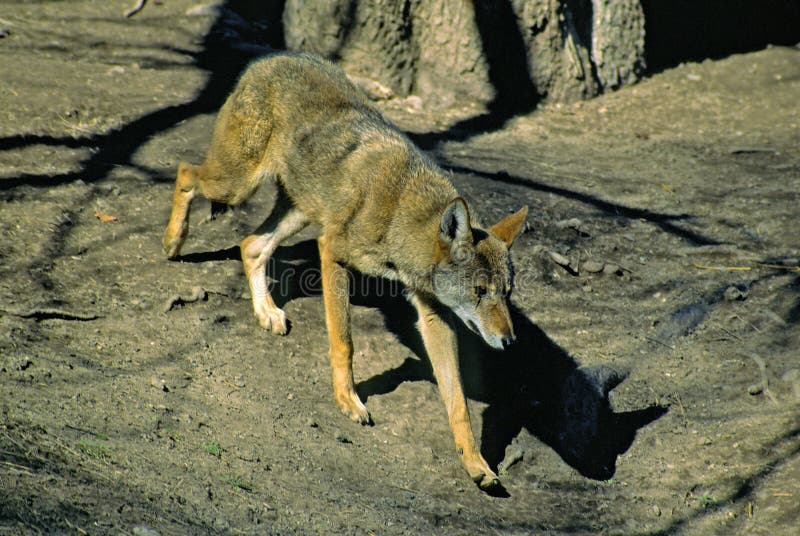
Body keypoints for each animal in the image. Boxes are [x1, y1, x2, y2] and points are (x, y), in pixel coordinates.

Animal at [162, 52, 528, 489]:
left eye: (506, 293)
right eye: (479, 292)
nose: (510, 341)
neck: (401, 213)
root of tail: (272, 57)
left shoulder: (434, 316)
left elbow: (458, 402)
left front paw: (476, 463)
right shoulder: (332, 253)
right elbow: (345, 344)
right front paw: (347, 400)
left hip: (299, 211)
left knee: (250, 246)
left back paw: (266, 312)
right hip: (238, 187)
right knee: (186, 172)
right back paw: (173, 241)